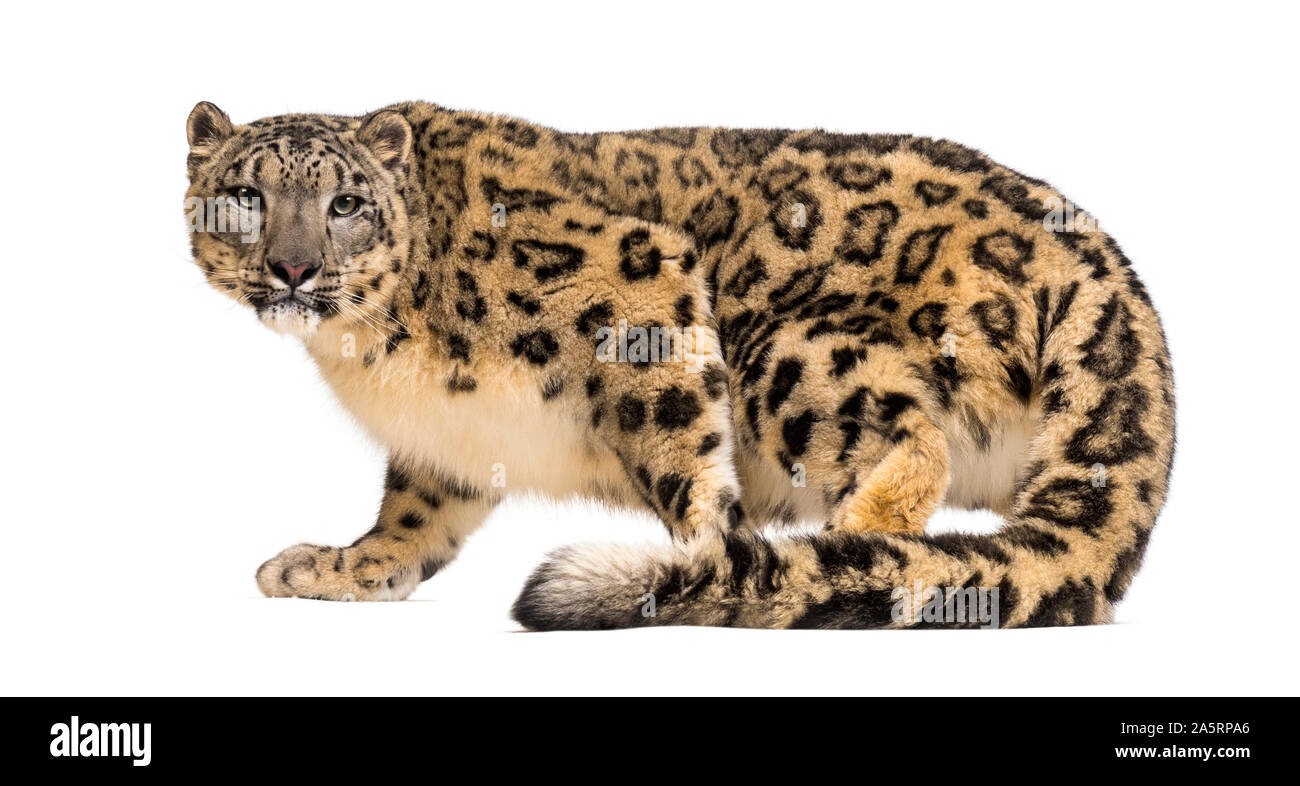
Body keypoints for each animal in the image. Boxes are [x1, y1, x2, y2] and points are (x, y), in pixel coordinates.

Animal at [184, 99, 1174, 628]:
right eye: (246, 195)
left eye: (346, 202)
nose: (293, 267)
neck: (368, 353)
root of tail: (1091, 250)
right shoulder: (449, 443)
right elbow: (415, 515)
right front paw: (342, 565)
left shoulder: (636, 282)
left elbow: (683, 455)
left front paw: (710, 565)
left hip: (793, 353)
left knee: (911, 440)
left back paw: (841, 547)